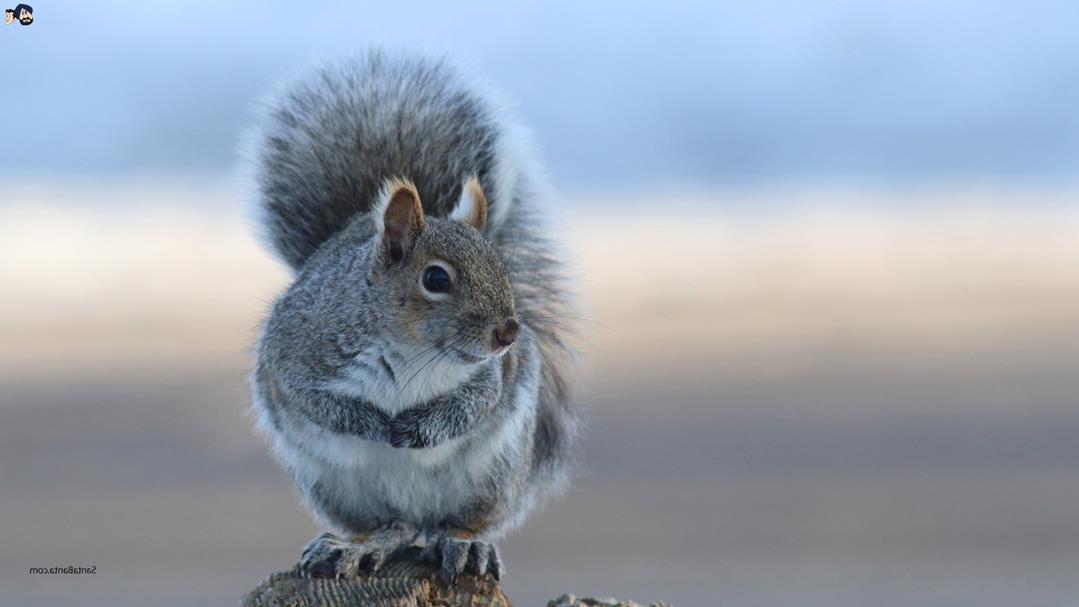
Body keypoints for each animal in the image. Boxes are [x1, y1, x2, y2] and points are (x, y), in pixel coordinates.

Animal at [245, 51, 579, 581]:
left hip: (495, 473)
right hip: (338, 488)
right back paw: (356, 545)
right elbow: (310, 398)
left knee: (456, 523)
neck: (412, 349)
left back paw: (464, 544)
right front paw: (370, 423)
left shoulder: (489, 374)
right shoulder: (296, 351)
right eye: (436, 279)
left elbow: (476, 402)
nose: (509, 333)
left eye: (500, 264)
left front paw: (419, 428)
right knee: (395, 527)